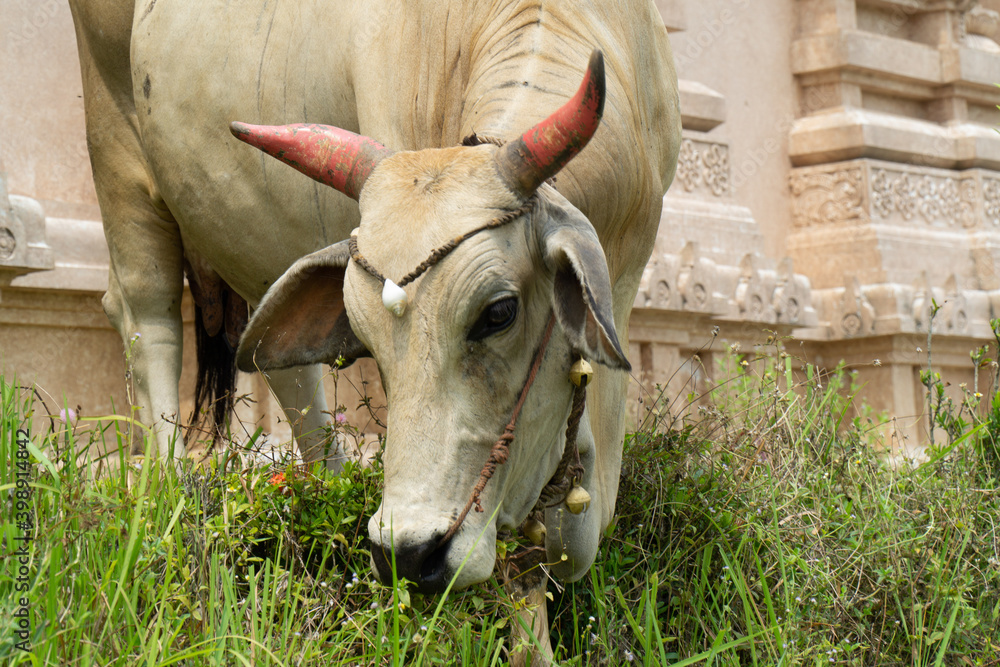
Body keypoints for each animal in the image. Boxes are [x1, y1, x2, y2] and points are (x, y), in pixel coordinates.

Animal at [70, 0, 679, 658]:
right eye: (366, 336)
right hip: (115, 145)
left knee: (288, 375)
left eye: (499, 312)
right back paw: (167, 499)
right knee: (145, 314)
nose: (408, 556)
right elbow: (521, 575)